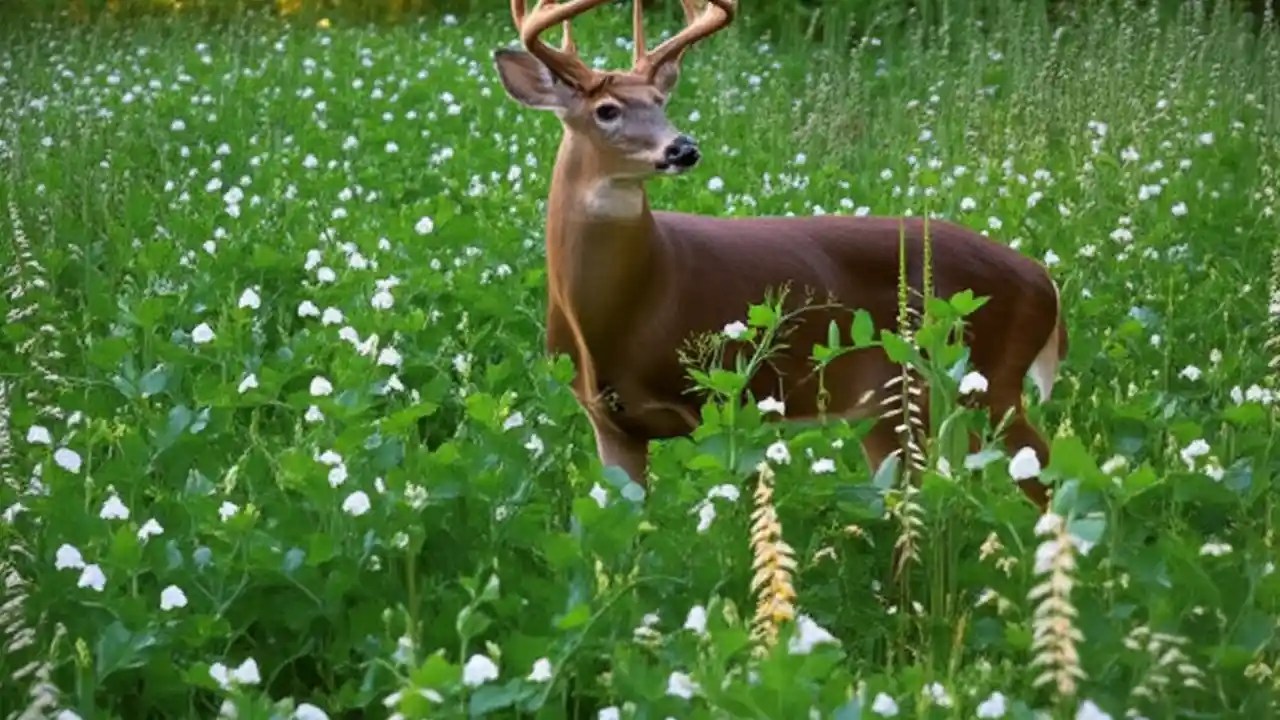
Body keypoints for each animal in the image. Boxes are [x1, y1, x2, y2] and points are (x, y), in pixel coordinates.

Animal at [492, 0, 1068, 510]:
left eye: (661, 101)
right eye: (607, 110)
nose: (684, 148)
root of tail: (1045, 282)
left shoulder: (725, 400)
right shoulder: (610, 424)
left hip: (989, 379)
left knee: (1053, 483)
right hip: (894, 408)